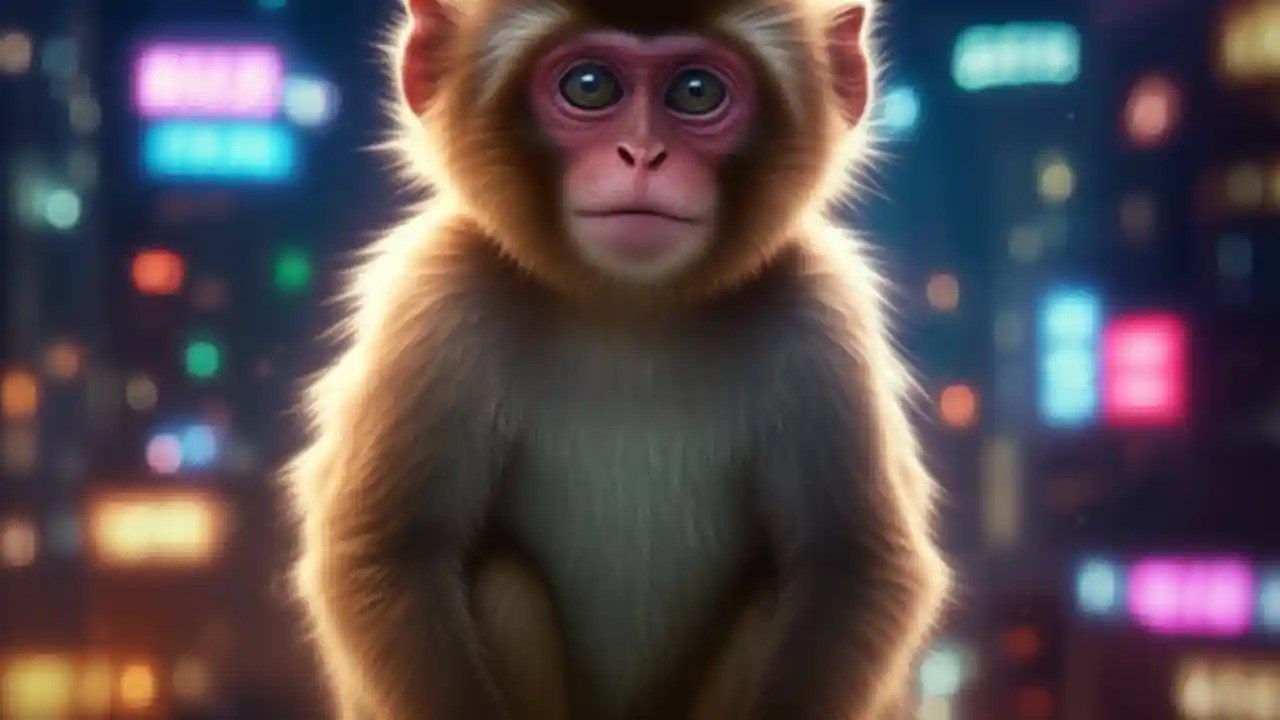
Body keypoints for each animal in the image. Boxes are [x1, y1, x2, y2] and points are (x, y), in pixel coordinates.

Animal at [283, 0, 951, 717]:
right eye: (589, 86)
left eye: (697, 91)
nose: (643, 155)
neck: (628, 310)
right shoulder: (436, 300)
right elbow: (391, 553)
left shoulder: (821, 317)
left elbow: (852, 565)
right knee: (499, 581)